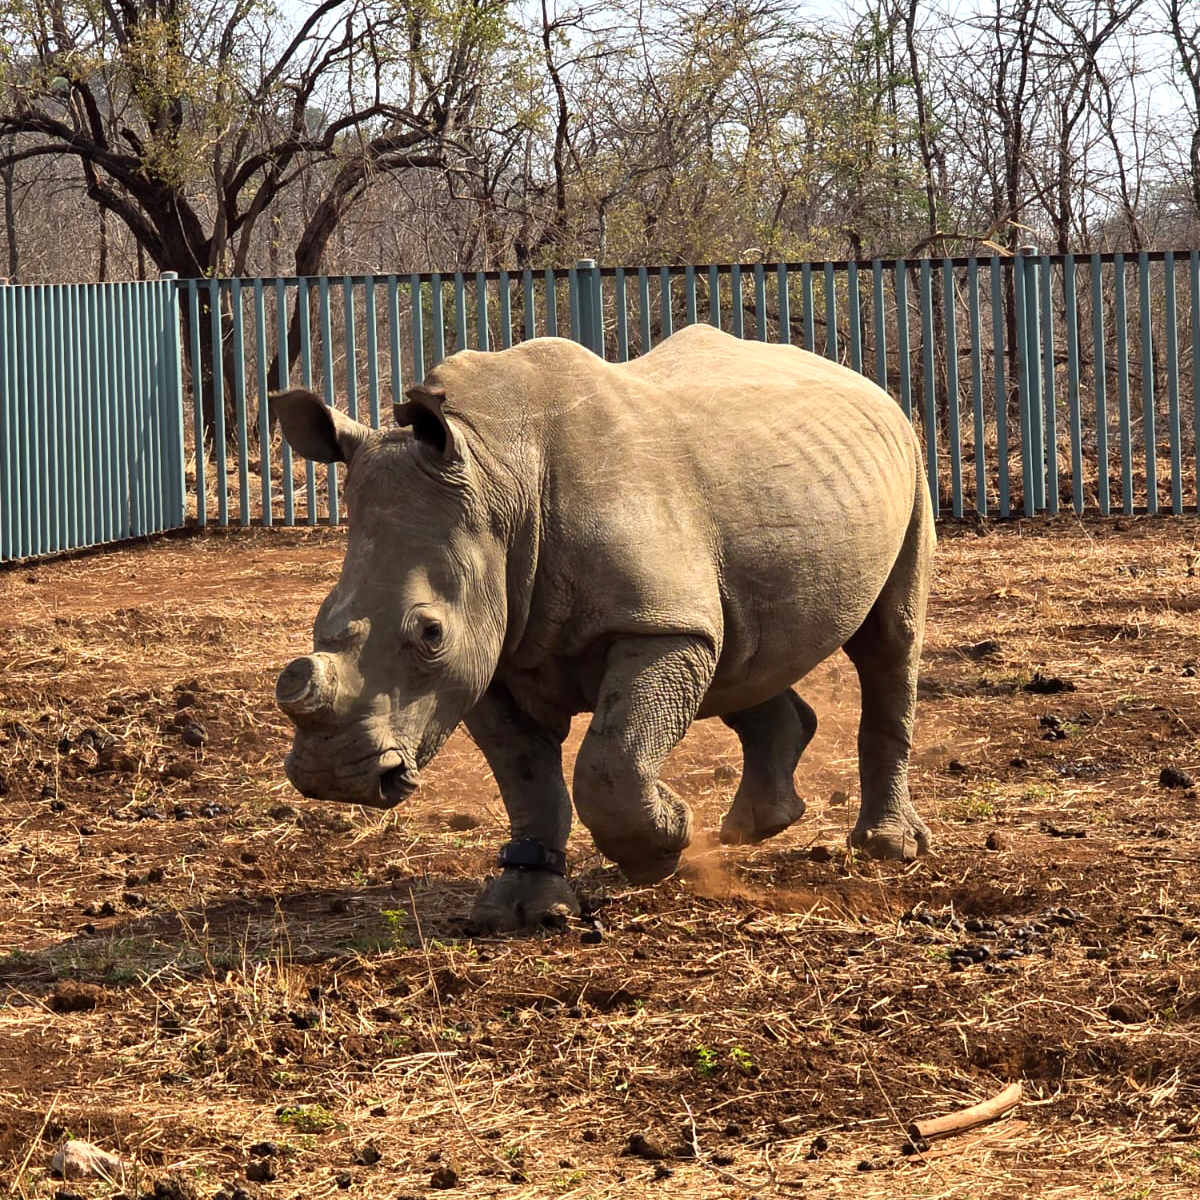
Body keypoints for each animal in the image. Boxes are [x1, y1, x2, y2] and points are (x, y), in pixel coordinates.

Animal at [272, 323, 934, 932]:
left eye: (431, 634)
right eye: (322, 618)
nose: (333, 774)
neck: (497, 475)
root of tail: (864, 381)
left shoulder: (655, 625)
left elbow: (611, 761)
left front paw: (663, 845)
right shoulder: (492, 651)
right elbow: (527, 776)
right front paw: (523, 909)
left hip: (910, 458)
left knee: (889, 642)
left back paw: (885, 849)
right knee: (740, 650)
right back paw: (755, 826)